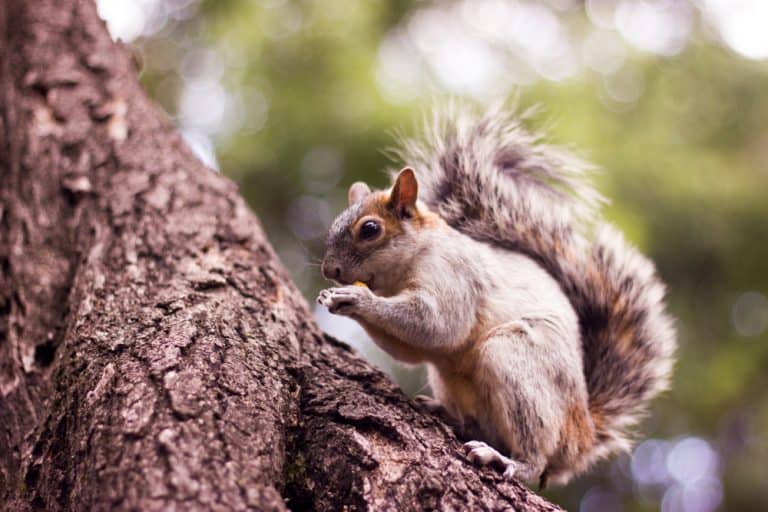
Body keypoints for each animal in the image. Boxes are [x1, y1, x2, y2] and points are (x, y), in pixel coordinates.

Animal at [316, 104, 676, 487]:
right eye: (333, 226)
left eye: (370, 229)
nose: (329, 270)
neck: (408, 263)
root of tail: (582, 438)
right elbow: (413, 349)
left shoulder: (454, 275)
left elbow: (439, 325)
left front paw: (356, 300)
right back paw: (447, 413)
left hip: (514, 357)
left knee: (534, 454)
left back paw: (506, 460)